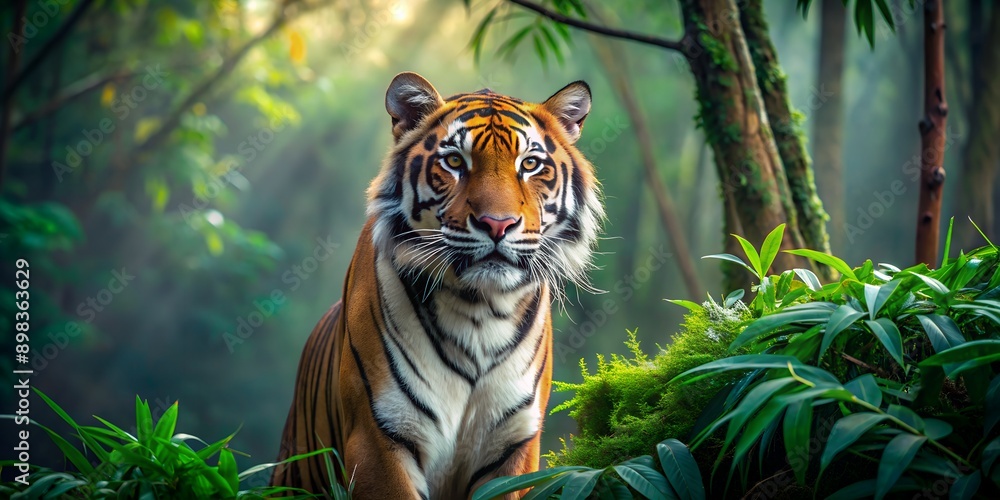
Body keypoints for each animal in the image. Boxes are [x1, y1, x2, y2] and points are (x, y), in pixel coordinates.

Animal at [271, 72, 604, 499]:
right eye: (455, 161)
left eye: (530, 164)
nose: (498, 224)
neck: (480, 311)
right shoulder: (379, 435)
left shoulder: (514, 445)